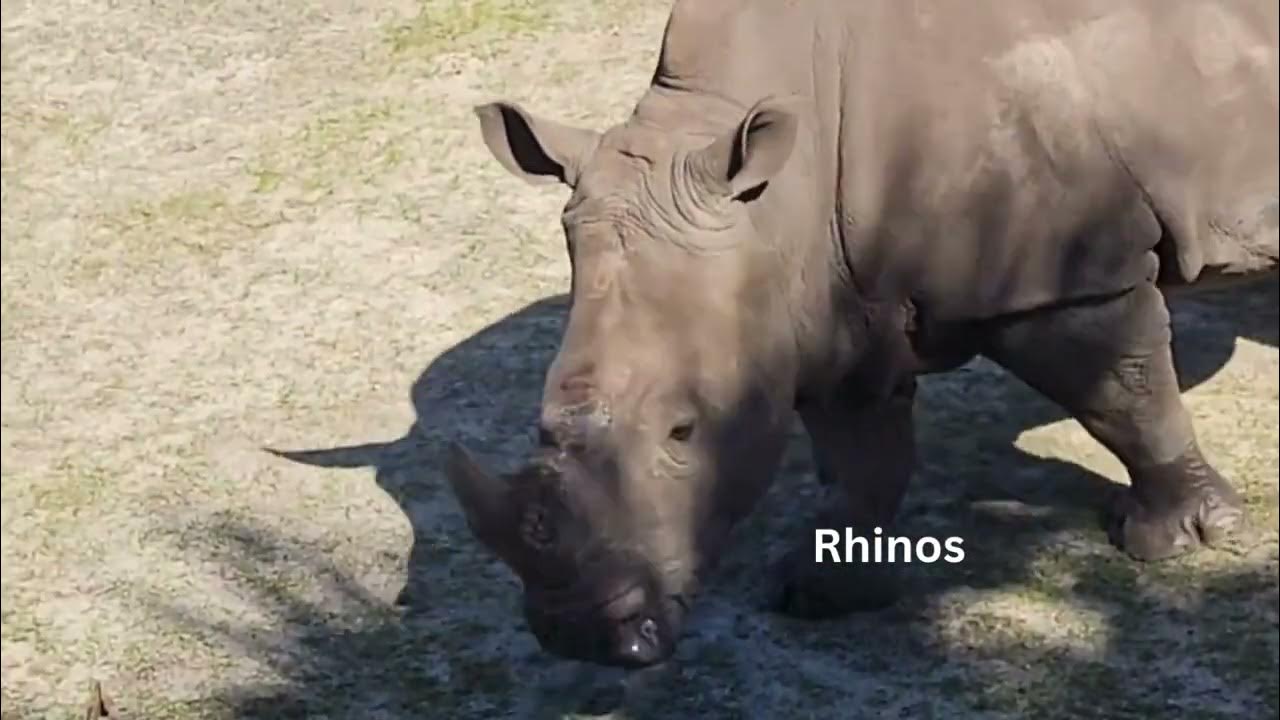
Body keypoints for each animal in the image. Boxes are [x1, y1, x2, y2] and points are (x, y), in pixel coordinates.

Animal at [446, 0, 1279, 668]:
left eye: (683, 431)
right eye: (542, 422)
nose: (576, 637)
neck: (776, 194)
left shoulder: (1054, 278)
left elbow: (1124, 400)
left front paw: (1180, 541)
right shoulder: (822, 299)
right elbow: (861, 456)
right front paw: (827, 592)